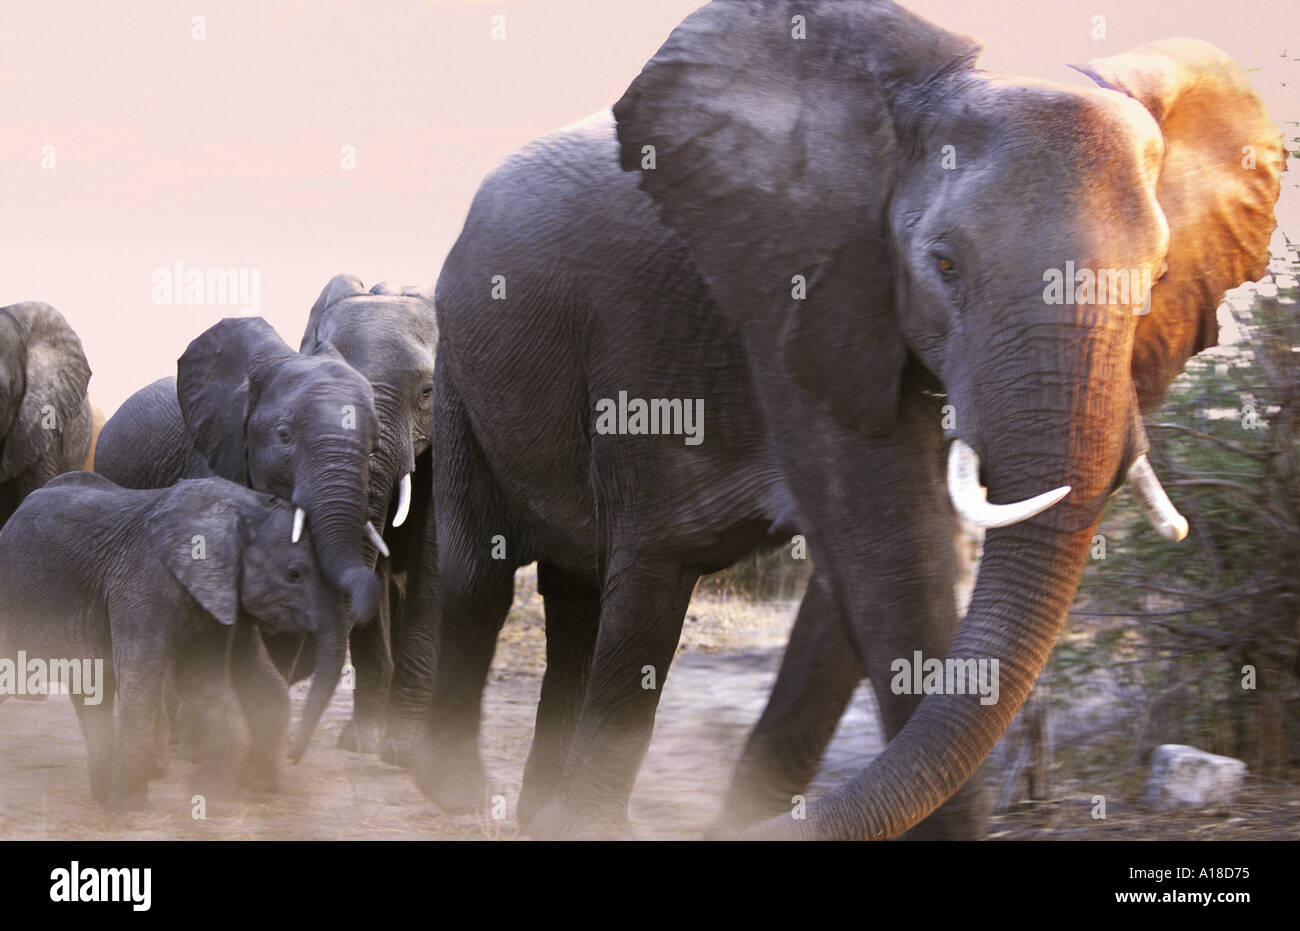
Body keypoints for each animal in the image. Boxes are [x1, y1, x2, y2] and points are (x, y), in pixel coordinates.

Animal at [0, 471, 366, 809]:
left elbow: (245, 681)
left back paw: (103, 795)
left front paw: (254, 790)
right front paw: (131, 810)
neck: (244, 505)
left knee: (91, 688)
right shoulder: (141, 583)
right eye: (294, 574)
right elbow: (148, 679)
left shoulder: (224, 597)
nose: (293, 756)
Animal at [417, 0, 1283, 839]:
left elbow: (853, 589)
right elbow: (891, 558)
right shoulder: (787, 308)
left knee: (579, 588)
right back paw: (464, 798)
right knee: (487, 573)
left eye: (1160, 276)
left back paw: (536, 814)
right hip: (456, 360)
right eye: (943, 264)